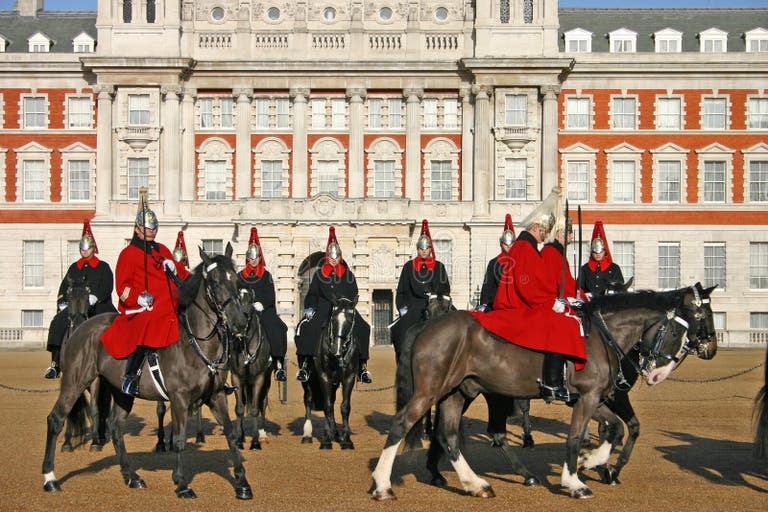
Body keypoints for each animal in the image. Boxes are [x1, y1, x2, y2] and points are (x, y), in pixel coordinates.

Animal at [59, 275, 112, 453]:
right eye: (68, 297)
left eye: (87, 298)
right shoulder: (68, 376)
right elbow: (71, 407)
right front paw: (67, 442)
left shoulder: (96, 380)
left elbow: (95, 407)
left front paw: (95, 441)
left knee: (103, 404)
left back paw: (101, 435)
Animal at [300, 296, 359, 449]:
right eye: (333, 319)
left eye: (349, 320)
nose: (336, 350)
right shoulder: (324, 377)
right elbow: (327, 406)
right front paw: (327, 440)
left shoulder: (349, 378)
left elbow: (344, 407)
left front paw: (346, 439)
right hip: (308, 381)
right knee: (309, 400)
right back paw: (309, 434)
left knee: (331, 401)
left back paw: (334, 433)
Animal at [372, 286, 709, 500]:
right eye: (677, 331)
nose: (656, 375)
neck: (600, 337)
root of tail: (429, 326)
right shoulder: (588, 398)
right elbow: (576, 436)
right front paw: (575, 480)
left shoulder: (591, 398)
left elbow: (614, 428)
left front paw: (591, 462)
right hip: (431, 392)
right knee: (401, 425)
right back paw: (383, 486)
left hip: (457, 393)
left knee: (449, 436)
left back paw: (474, 483)